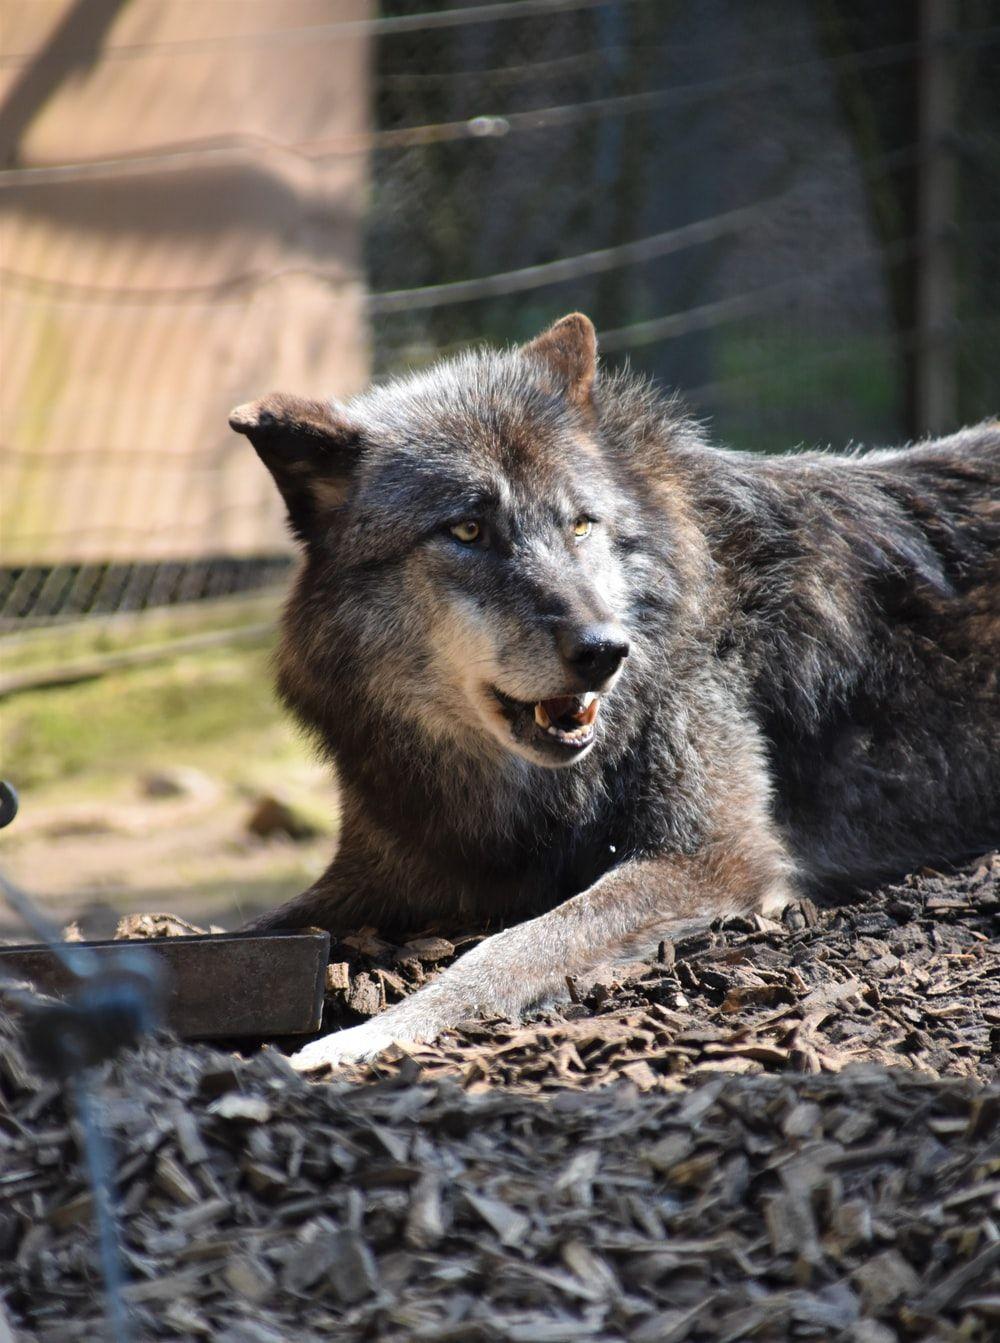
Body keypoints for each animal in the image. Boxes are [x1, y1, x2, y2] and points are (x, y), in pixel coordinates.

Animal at [229, 313, 1000, 1071]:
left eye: (580, 523)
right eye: (468, 530)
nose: (605, 651)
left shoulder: (710, 858)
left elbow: (506, 947)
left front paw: (368, 1035)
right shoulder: (388, 872)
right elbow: (244, 932)